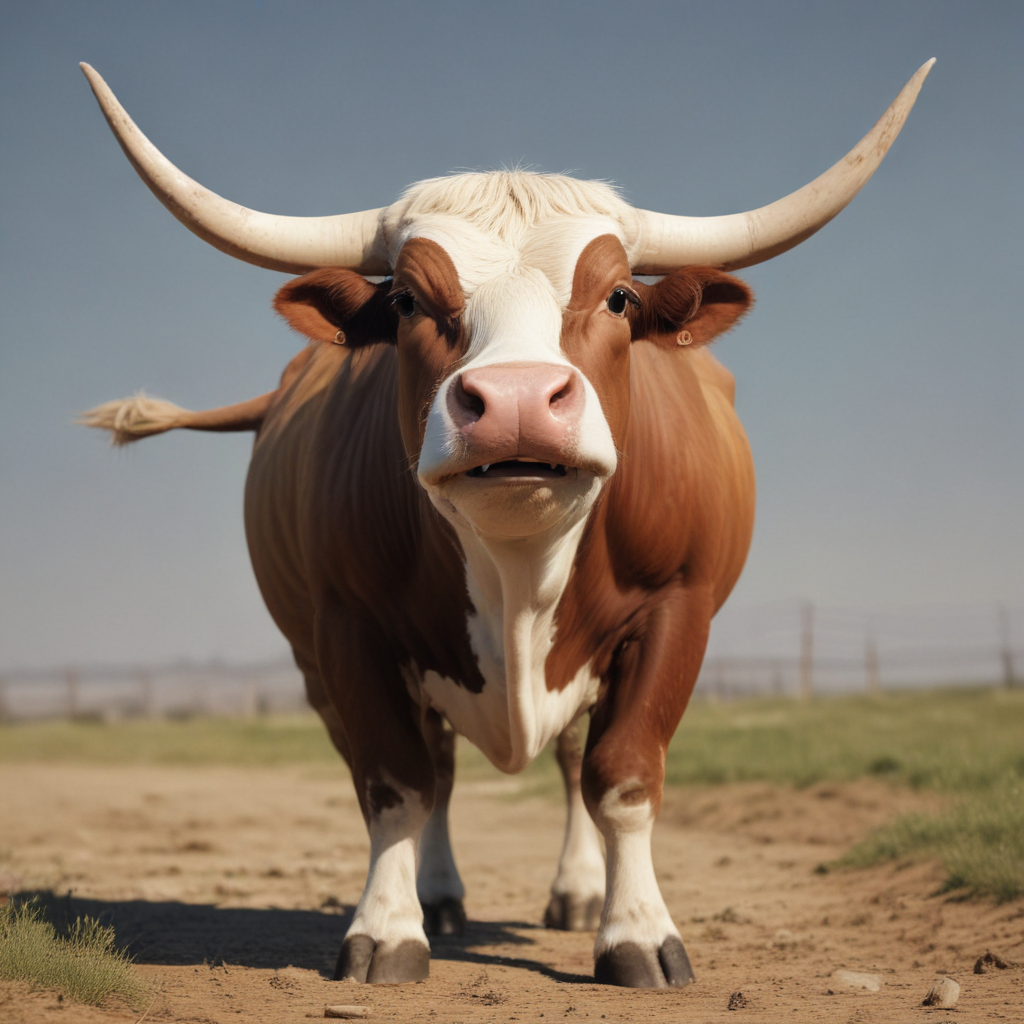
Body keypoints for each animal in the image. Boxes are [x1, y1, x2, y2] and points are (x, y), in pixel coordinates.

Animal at [79, 61, 932, 989]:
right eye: (407, 299)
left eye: (619, 296)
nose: (518, 400)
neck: (518, 571)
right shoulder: (346, 631)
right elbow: (395, 785)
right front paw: (389, 927)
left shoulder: (678, 609)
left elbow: (623, 776)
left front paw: (636, 932)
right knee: (441, 770)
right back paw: (442, 896)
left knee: (568, 761)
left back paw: (578, 893)